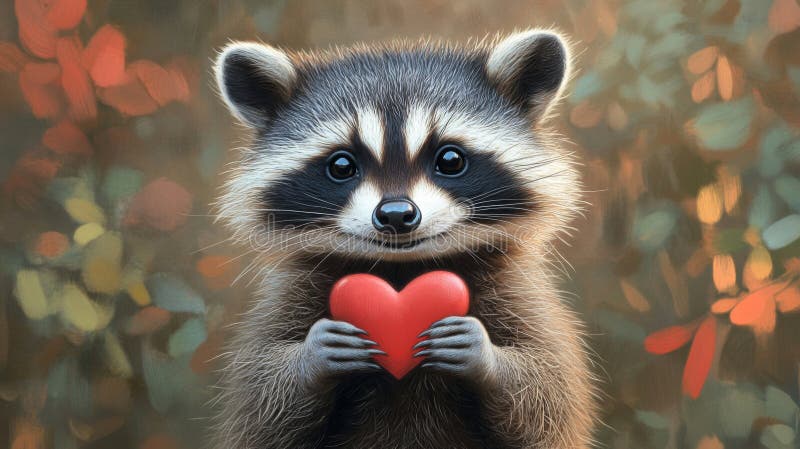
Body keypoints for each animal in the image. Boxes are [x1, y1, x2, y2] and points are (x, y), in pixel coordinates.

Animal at [212, 30, 597, 449]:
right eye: (342, 165)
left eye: (450, 160)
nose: (396, 215)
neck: (402, 269)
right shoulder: (287, 302)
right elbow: (260, 408)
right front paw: (310, 358)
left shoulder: (519, 296)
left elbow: (549, 392)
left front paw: (487, 357)